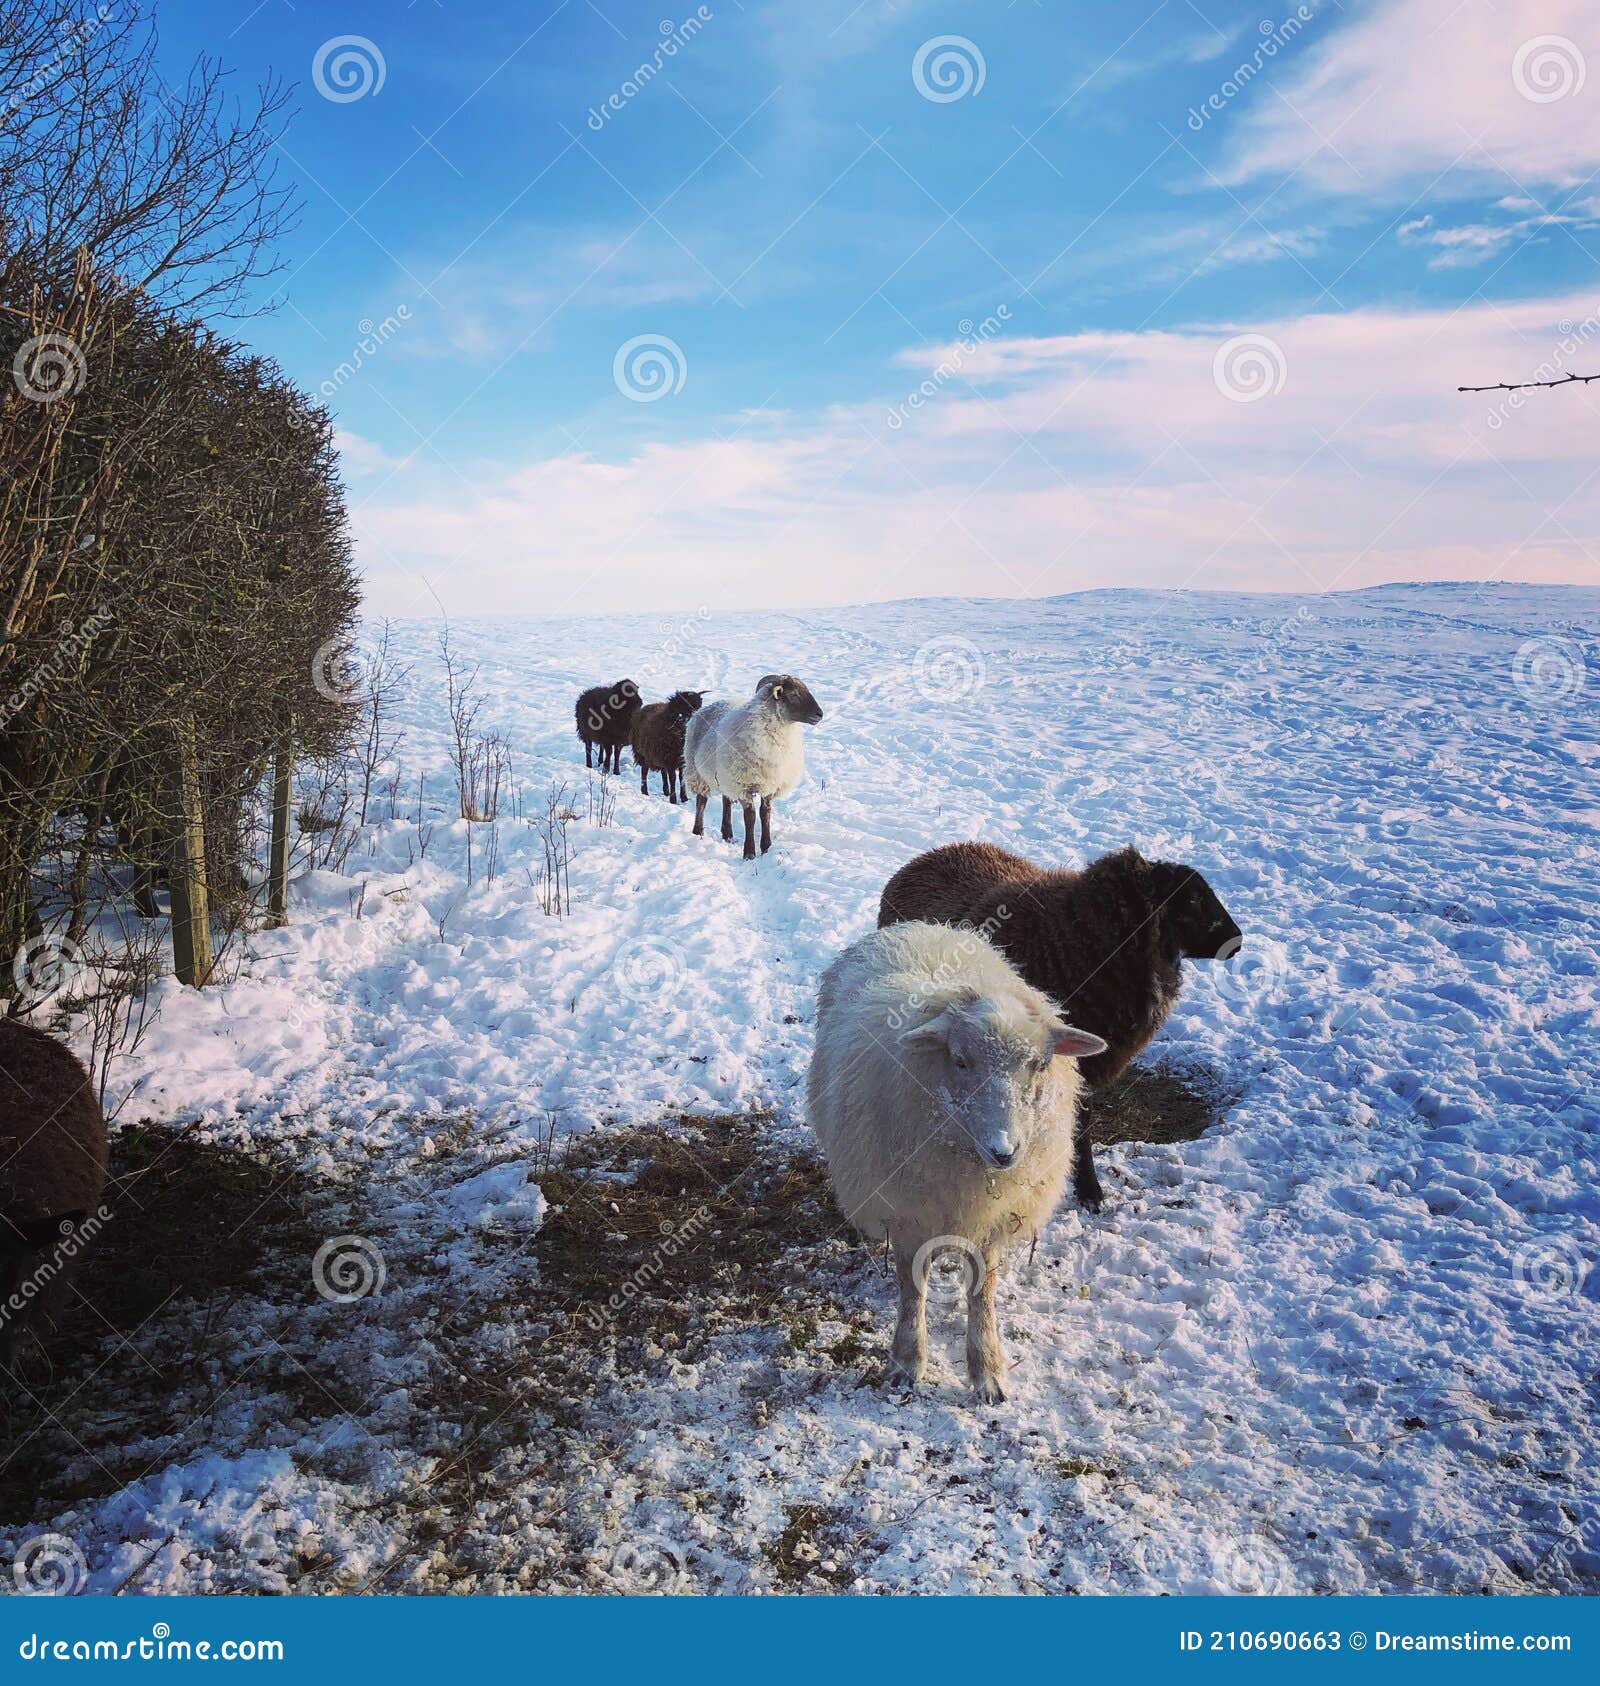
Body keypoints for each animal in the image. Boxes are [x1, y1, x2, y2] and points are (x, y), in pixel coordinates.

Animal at [683, 673, 823, 860]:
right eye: (793, 695)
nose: (820, 714)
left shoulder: (770, 784)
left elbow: (765, 814)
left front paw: (766, 847)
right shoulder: (744, 785)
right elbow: (750, 817)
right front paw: (749, 852)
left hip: (724, 775)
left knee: (726, 801)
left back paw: (727, 834)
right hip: (697, 772)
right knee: (701, 802)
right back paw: (698, 832)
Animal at [808, 920, 1105, 1402]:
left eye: (1039, 1064)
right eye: (961, 1060)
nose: (1005, 1150)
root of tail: (917, 925)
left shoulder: (995, 1218)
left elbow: (983, 1292)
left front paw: (988, 1370)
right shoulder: (907, 1212)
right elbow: (912, 1289)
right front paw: (907, 1361)